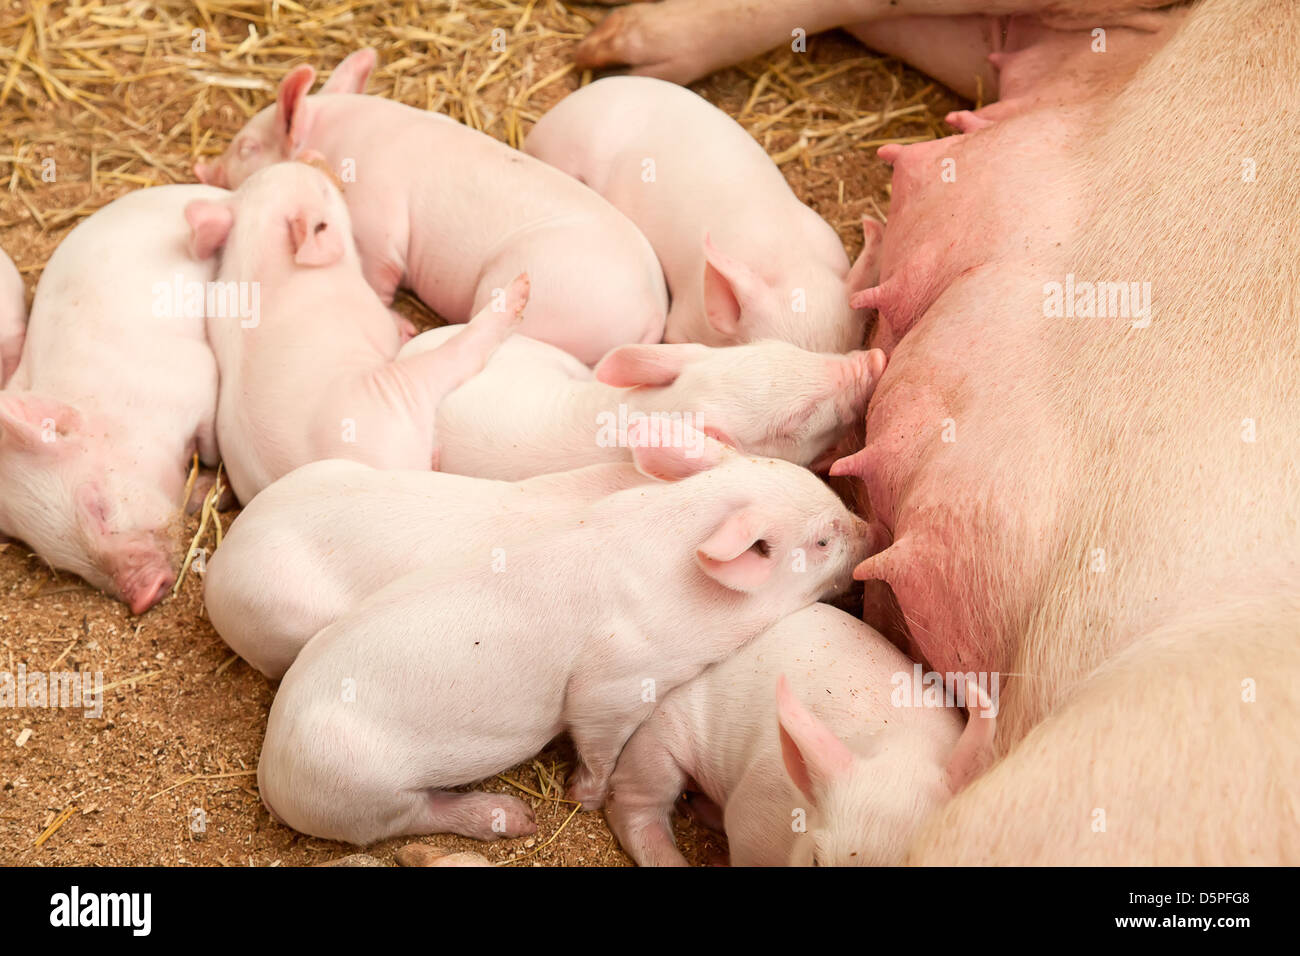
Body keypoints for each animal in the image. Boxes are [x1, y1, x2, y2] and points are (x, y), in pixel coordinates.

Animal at [182, 161, 528, 504]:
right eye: (323, 190)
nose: (311, 163)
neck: (253, 258)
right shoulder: (368, 309)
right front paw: (405, 328)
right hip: (397, 389)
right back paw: (519, 288)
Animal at [193, 50, 667, 365]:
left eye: (247, 147)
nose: (201, 167)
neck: (337, 141)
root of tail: (653, 313)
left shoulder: (377, 230)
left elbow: (378, 280)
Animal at [257, 421, 874, 845]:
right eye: (822, 540)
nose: (872, 528)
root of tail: (270, 769)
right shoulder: (614, 684)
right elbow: (598, 741)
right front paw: (586, 797)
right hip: (362, 789)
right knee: (410, 816)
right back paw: (516, 818)